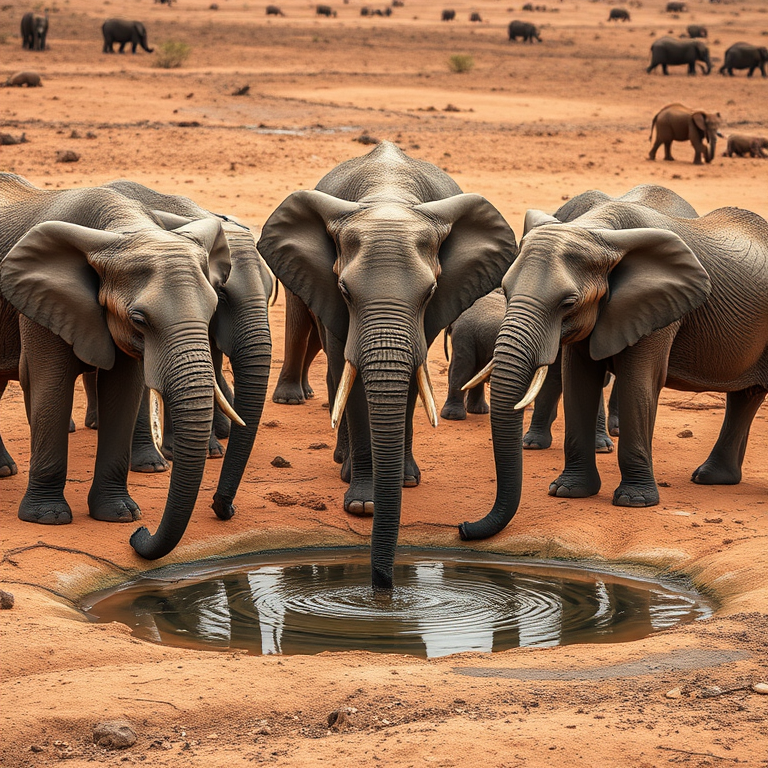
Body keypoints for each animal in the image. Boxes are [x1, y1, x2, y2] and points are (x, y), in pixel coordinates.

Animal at [0, 173, 241, 564]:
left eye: (212, 311)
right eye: (139, 319)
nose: (138, 535)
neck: (121, 229)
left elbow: (123, 393)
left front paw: (120, 515)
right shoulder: (39, 301)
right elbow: (51, 385)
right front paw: (47, 517)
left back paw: (3, 471)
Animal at [257, 142, 517, 589]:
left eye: (430, 291)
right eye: (345, 290)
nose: (383, 582)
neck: (388, 199)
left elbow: (412, 378)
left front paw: (404, 482)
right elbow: (354, 380)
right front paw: (362, 504)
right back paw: (337, 458)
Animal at [459, 189, 768, 543]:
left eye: (568, 303)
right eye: (506, 291)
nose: (464, 527)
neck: (599, 233)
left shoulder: (657, 309)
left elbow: (639, 382)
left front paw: (635, 501)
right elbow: (578, 380)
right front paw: (568, 491)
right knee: (746, 396)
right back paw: (711, 478)